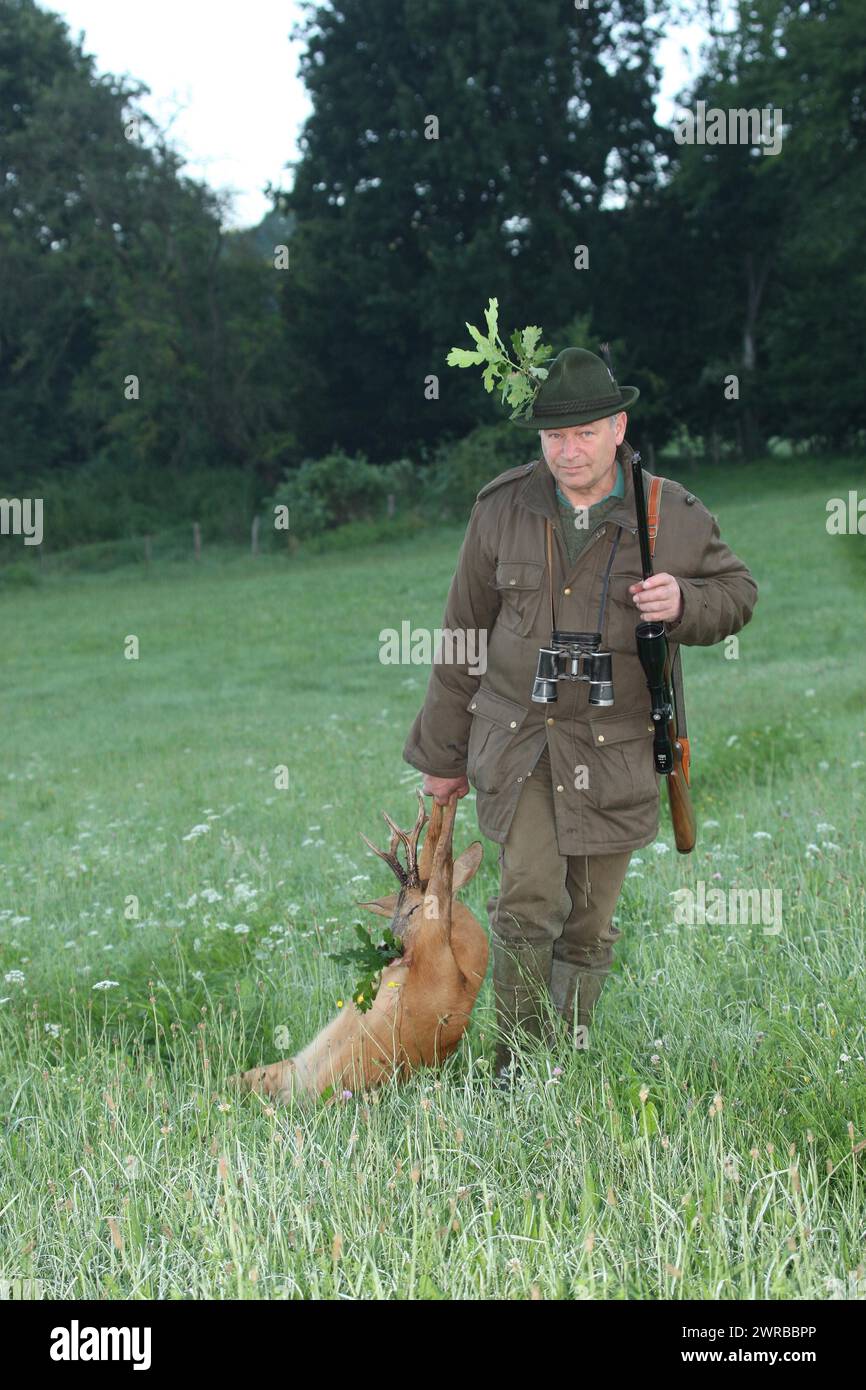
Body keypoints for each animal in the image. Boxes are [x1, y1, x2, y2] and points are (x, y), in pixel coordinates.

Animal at [231, 790, 487, 1105]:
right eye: (393, 911)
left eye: (413, 908)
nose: (386, 947)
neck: (468, 965)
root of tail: (302, 1094)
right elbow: (434, 849)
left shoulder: (435, 953)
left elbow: (441, 861)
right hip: (280, 1069)